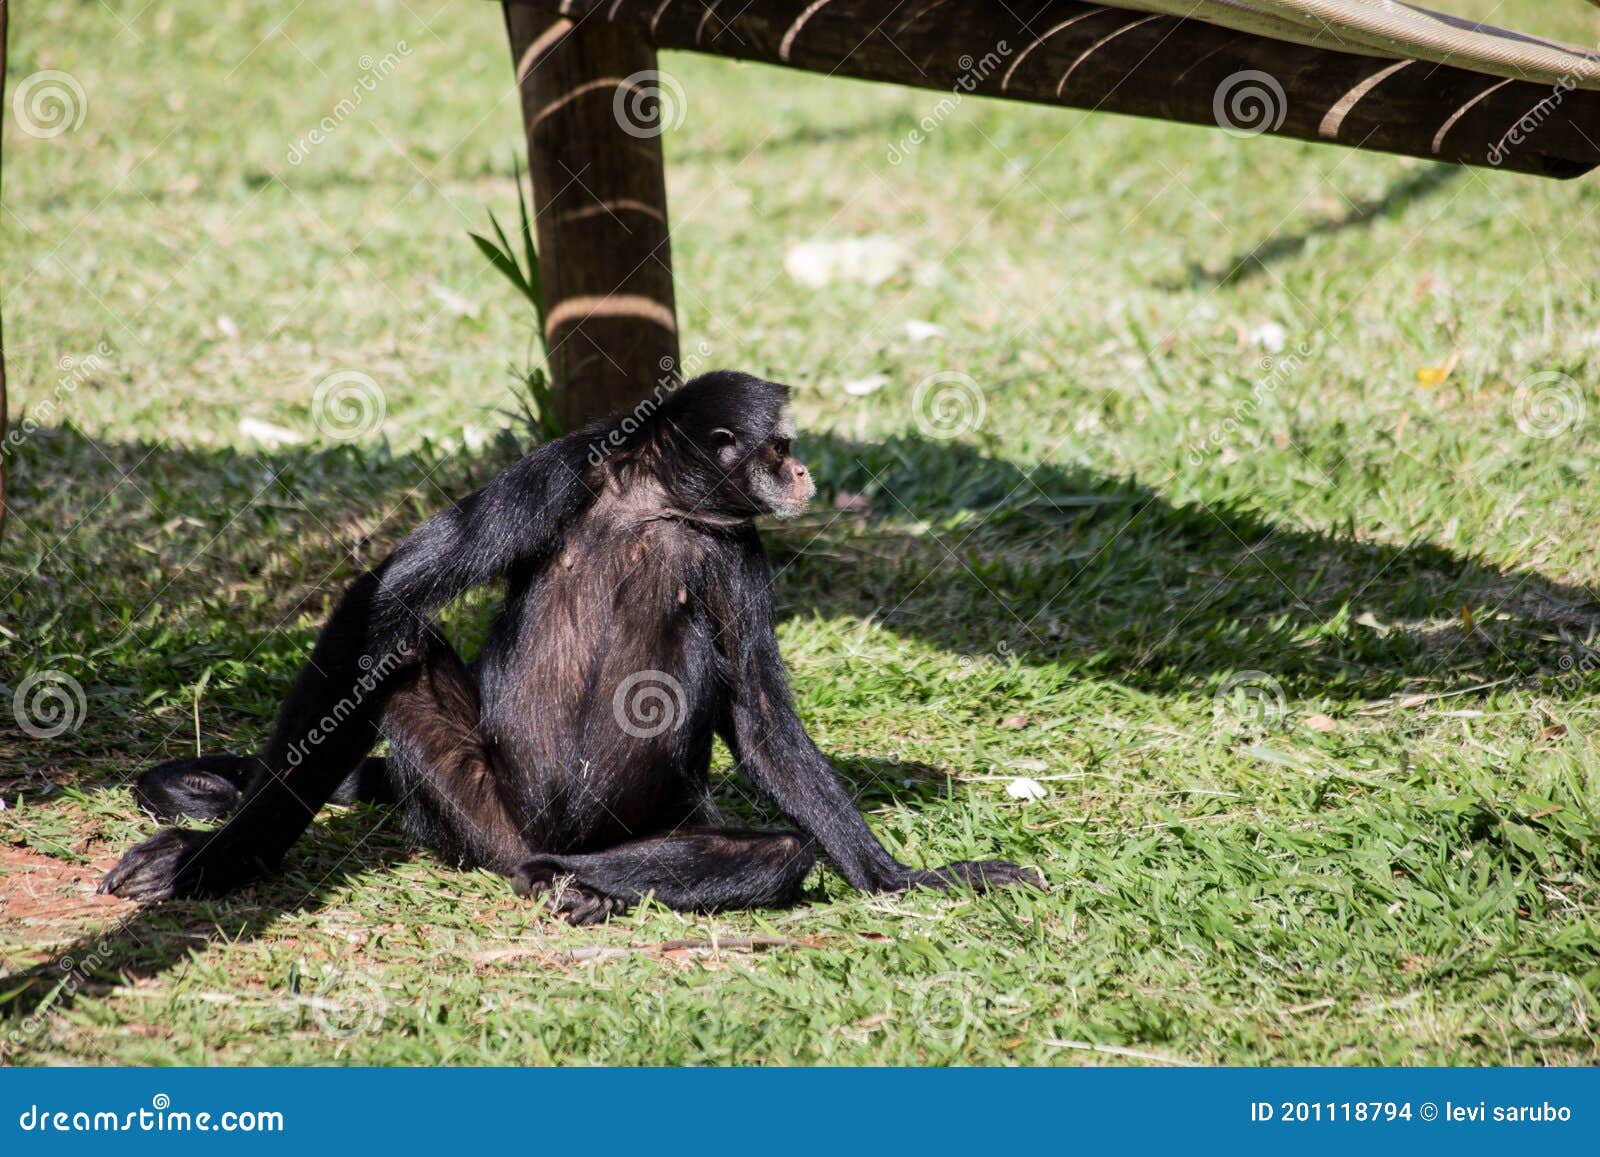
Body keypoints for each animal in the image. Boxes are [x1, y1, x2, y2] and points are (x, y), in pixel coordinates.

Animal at [102, 371, 1041, 922]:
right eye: (781, 447)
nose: (803, 472)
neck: (653, 504)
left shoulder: (736, 545)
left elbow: (763, 718)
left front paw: (905, 881)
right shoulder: (554, 469)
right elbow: (382, 598)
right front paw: (215, 861)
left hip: (644, 823)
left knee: (779, 852)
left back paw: (582, 883)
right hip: (481, 810)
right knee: (393, 647)